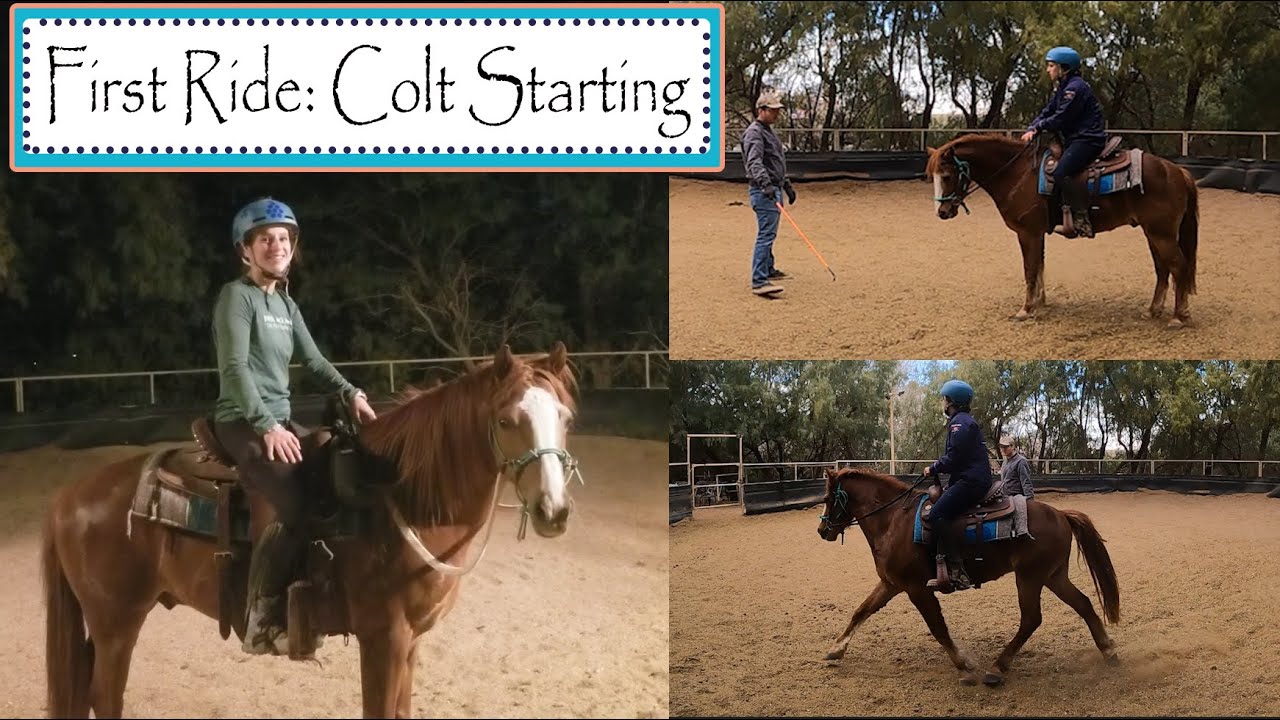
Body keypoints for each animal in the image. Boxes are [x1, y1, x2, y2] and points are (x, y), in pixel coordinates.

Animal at [42, 342, 581, 718]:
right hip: (117, 622)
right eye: (508, 420)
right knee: (103, 696)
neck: (396, 497)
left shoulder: (411, 641)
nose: (553, 510)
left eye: (565, 417)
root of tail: (70, 494)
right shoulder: (383, 638)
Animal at [815, 466, 1121, 687]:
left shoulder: (917, 588)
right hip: (1053, 576)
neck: (893, 521)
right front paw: (836, 649)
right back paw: (1109, 651)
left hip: (1030, 577)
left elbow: (938, 628)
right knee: (1083, 604)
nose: (822, 530)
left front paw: (964, 666)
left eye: (828, 499)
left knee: (1031, 619)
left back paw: (997, 668)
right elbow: (861, 611)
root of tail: (1061, 513)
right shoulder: (891, 583)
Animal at [926, 132, 1199, 329]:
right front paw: (1039, 302)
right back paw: (1153, 310)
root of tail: (1177, 171)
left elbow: (1030, 269)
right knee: (1163, 269)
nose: (942, 212)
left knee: (1178, 266)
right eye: (933, 176)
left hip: (1161, 234)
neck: (1017, 174)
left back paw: (1179, 316)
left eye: (947, 175)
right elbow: (1040, 266)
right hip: (1153, 233)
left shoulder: (1027, 233)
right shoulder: (1037, 234)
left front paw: (1026, 310)